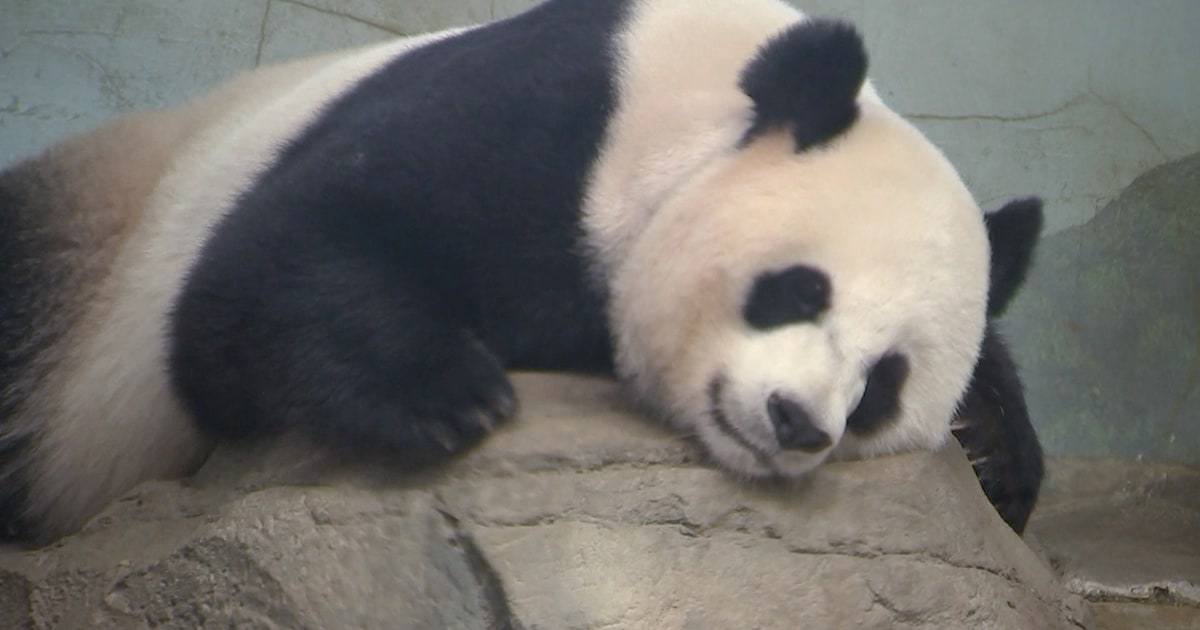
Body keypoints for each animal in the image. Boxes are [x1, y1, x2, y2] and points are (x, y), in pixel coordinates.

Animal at [0, 0, 1044, 545]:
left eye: (882, 386)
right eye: (797, 289)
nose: (796, 424)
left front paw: (992, 453)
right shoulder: (552, 122)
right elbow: (262, 272)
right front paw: (442, 396)